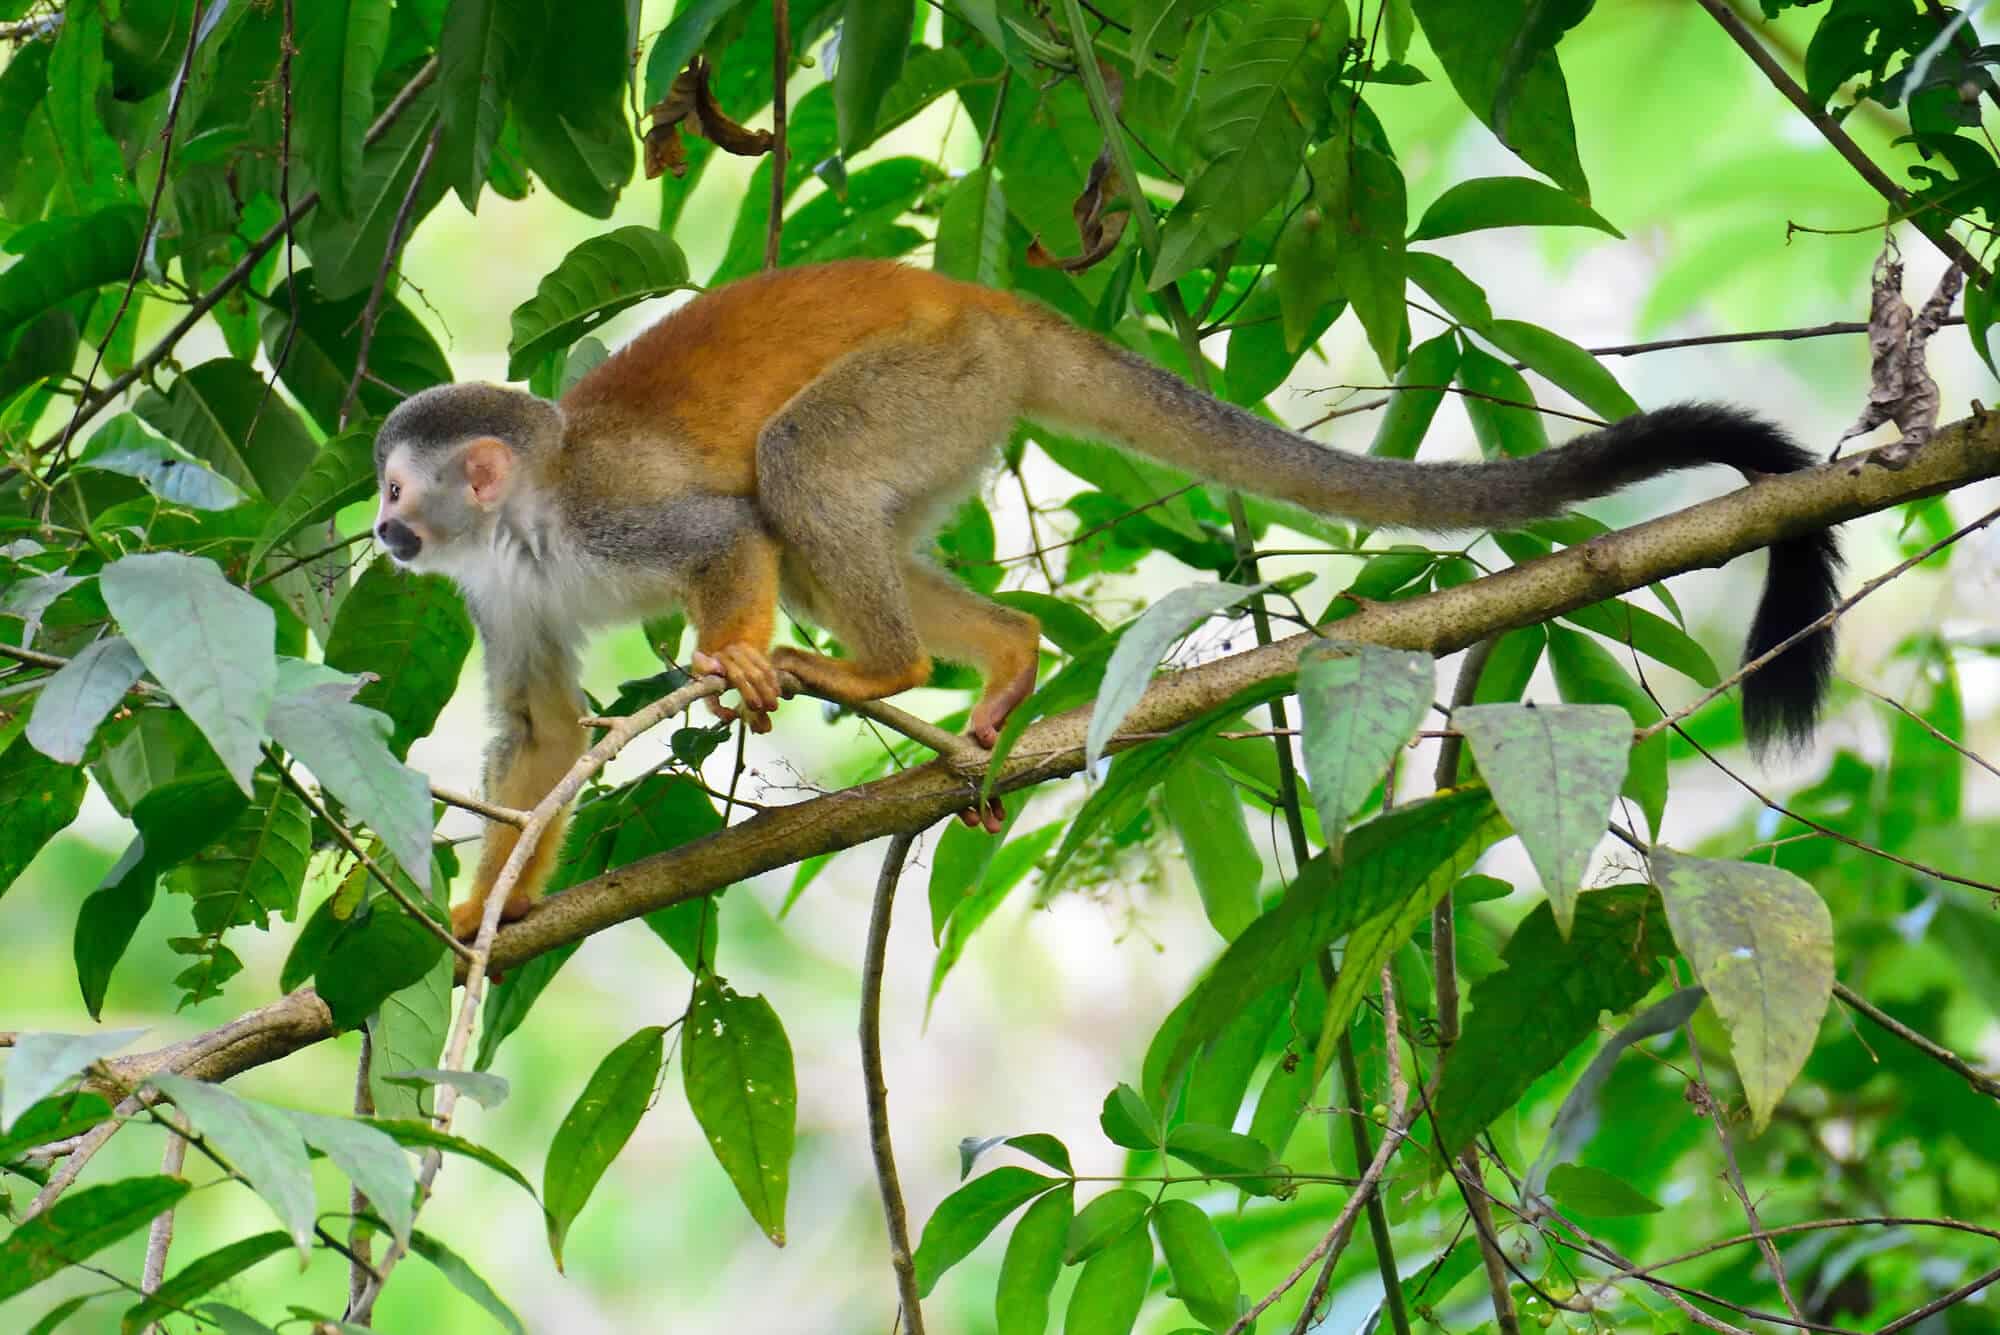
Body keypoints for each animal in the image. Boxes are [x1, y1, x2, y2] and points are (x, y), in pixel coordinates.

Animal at [371, 259, 1841, 938]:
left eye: (399, 489)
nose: (383, 534)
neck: (524, 521)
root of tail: (976, 297)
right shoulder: (497, 590)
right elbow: (542, 735)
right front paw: (481, 919)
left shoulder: (603, 512)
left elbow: (728, 531)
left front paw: (730, 657)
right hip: (953, 415)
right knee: (848, 517)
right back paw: (1002, 664)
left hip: (923, 379)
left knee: (792, 475)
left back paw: (887, 672)